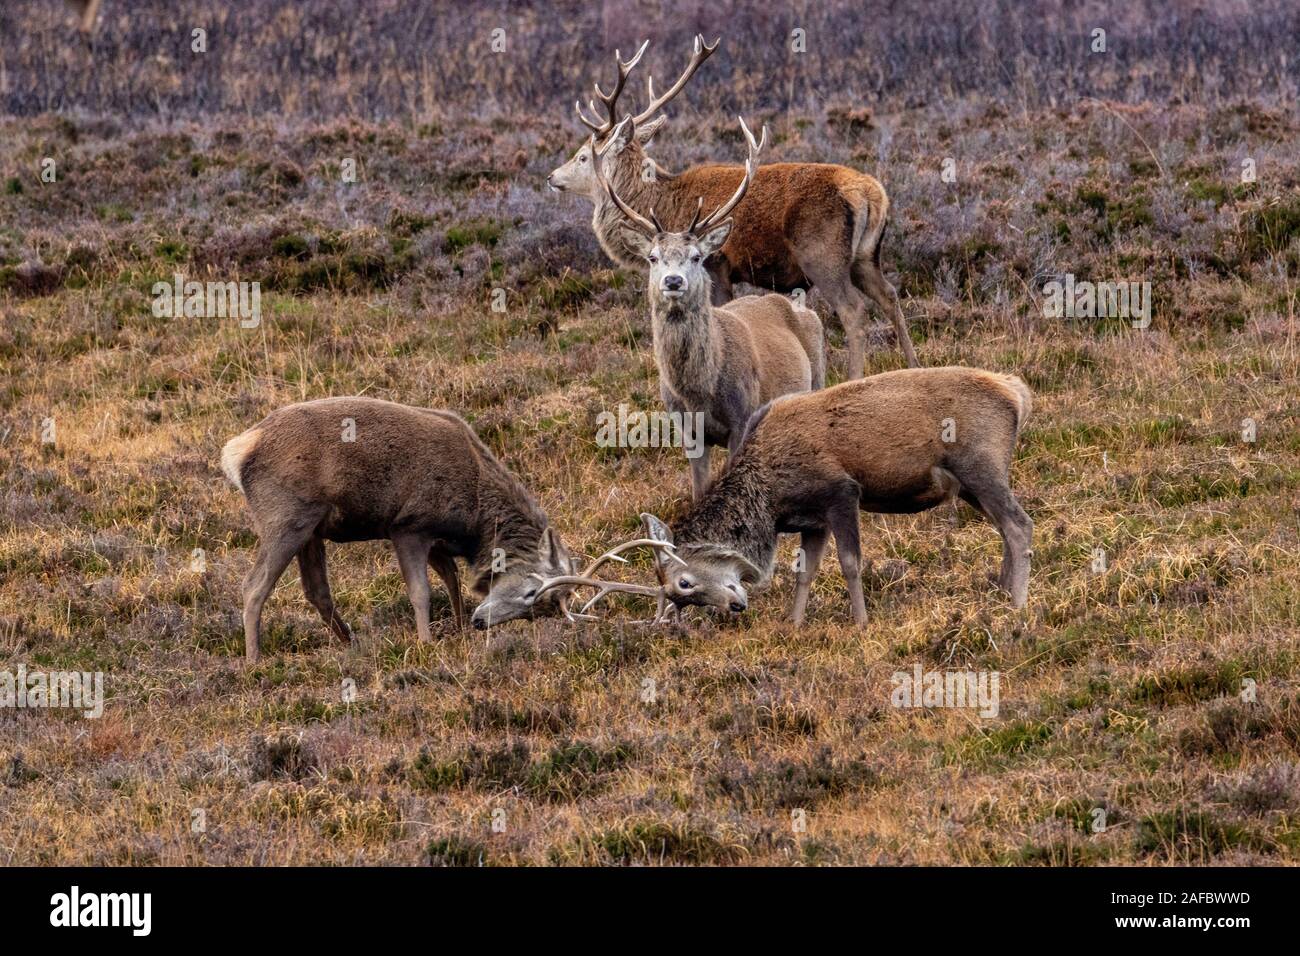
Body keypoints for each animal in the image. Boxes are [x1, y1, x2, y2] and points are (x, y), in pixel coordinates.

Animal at [220, 397, 585, 662]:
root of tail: (236, 452)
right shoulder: (410, 526)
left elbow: (451, 578)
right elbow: (421, 592)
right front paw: (426, 642)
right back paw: (254, 660)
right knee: (254, 586)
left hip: (311, 528)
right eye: (532, 592)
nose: (481, 622)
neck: (473, 522)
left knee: (317, 591)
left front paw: (458, 628)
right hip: (285, 518)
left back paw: (351, 642)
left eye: (536, 612)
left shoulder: (436, 538)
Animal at [538, 367, 1033, 625]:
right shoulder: (812, 520)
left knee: (1019, 524)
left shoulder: (841, 491)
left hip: (981, 464)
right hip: (972, 485)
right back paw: (1000, 590)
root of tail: (1017, 392)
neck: (769, 499)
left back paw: (1017, 602)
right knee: (1005, 527)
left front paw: (861, 622)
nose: (735, 606)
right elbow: (805, 572)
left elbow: (850, 563)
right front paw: (794, 623)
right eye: (684, 598)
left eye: (684, 584)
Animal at [547, 35, 920, 377]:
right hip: (866, 257)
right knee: (890, 295)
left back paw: (853, 378)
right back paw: (913, 366)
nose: (551, 176)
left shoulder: (717, 265)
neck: (661, 203)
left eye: (583, 156)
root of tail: (872, 195)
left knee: (854, 311)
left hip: (823, 256)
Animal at [593, 115, 825, 501]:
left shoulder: (741, 417)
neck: (699, 391)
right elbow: (699, 490)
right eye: (652, 257)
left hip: (818, 376)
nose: (673, 281)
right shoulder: (687, 430)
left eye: (696, 256)